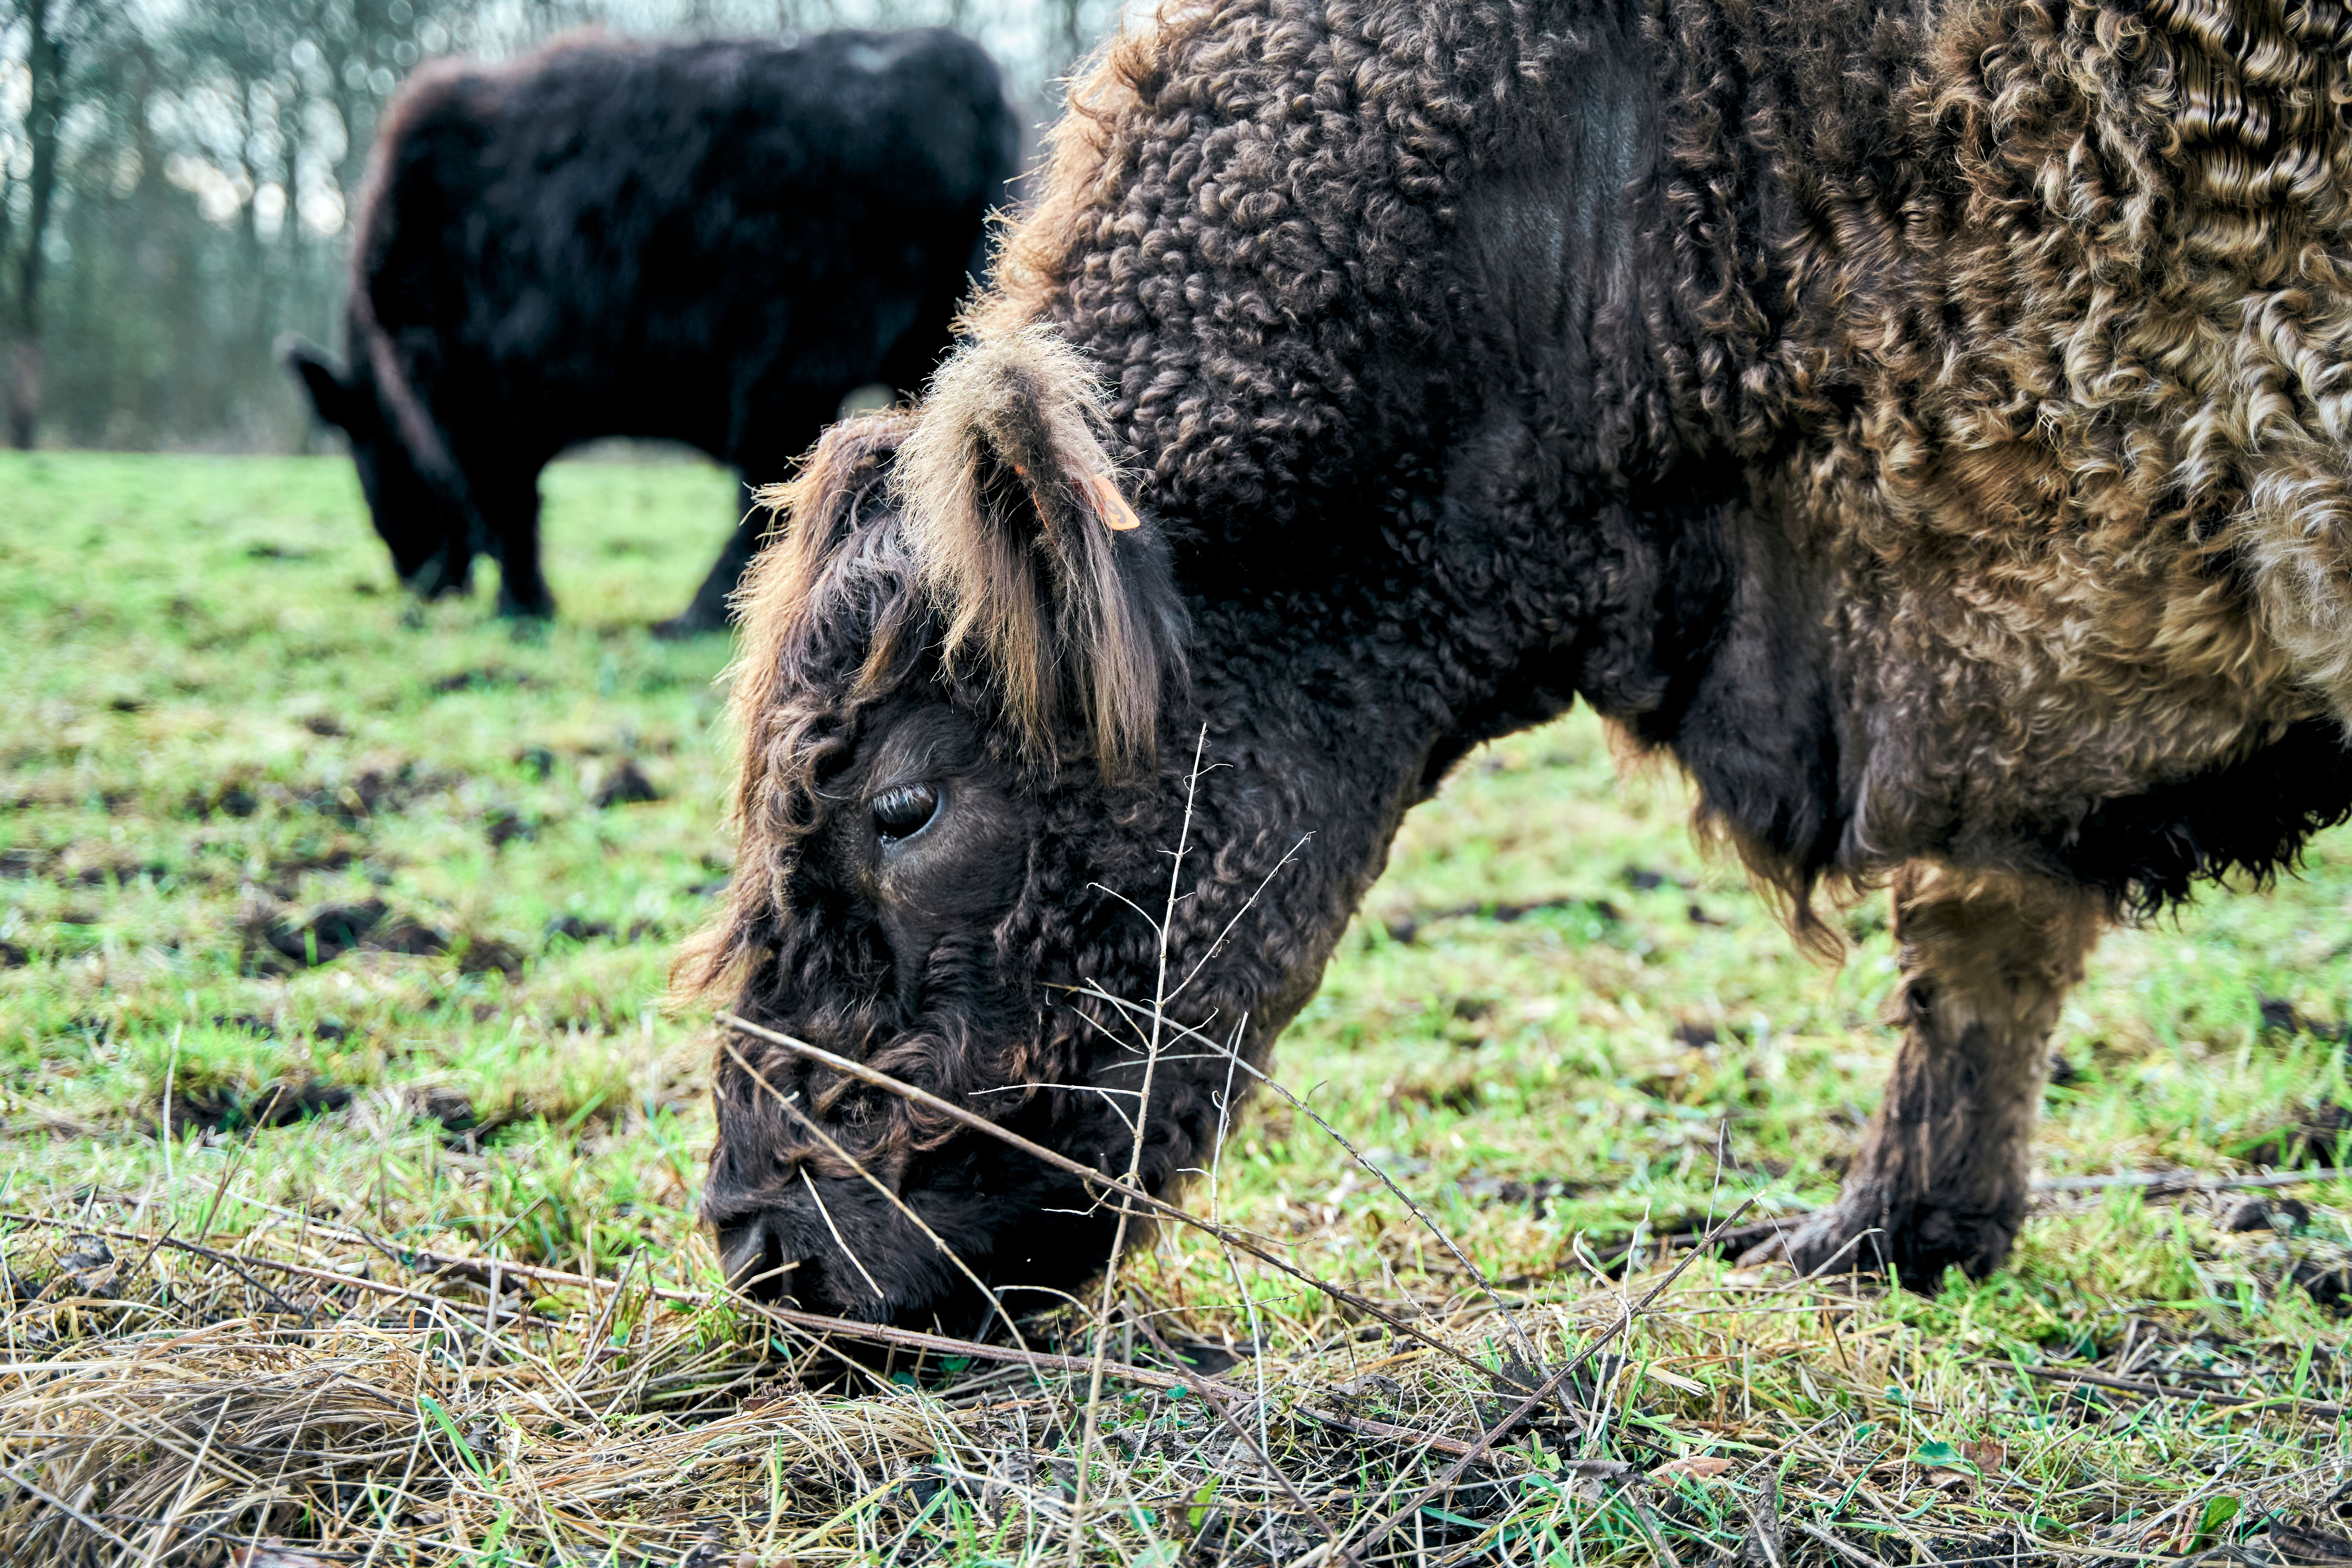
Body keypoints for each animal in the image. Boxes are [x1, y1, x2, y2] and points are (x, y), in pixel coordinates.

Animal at [284, 28, 1019, 635]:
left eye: (367, 457)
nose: (423, 582)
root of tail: (962, 63)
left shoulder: (470, 401)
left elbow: (507, 507)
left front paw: (523, 607)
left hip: (788, 371)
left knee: (771, 495)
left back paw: (698, 616)